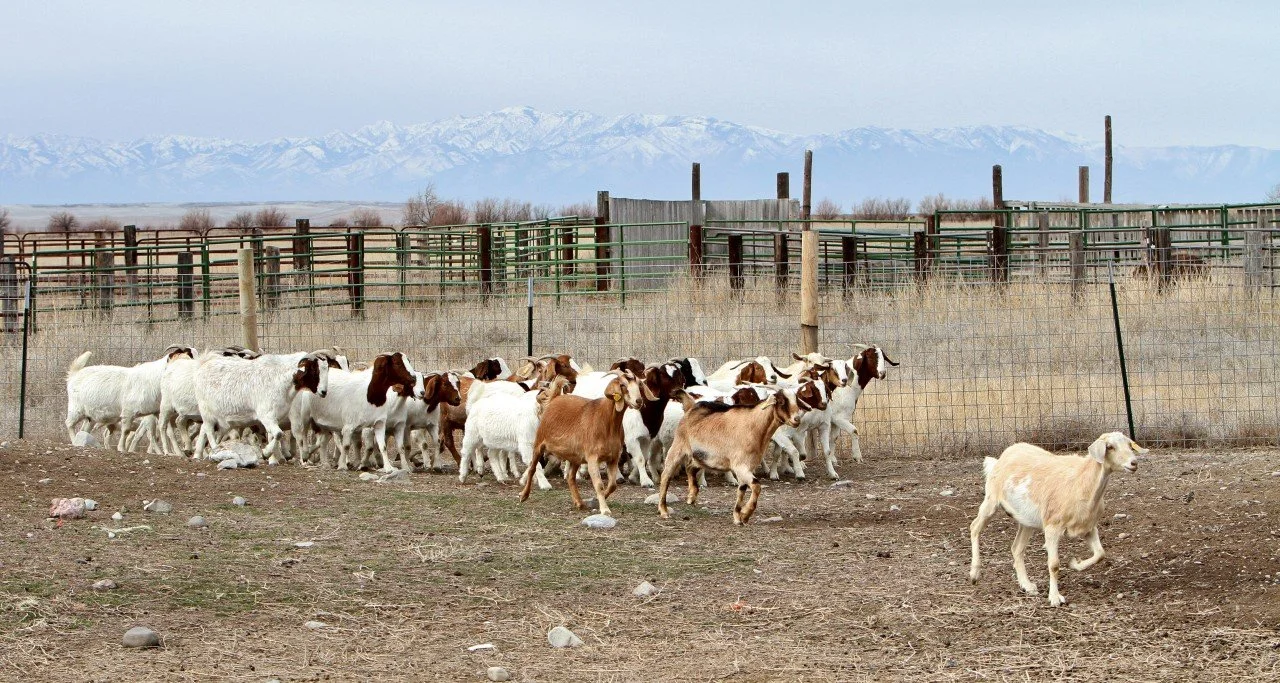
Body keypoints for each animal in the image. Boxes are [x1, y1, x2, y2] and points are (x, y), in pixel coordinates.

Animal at [518, 370, 653, 516]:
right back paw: (524, 495)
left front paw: (597, 500)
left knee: (570, 477)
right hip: (539, 443)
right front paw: (605, 509)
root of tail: (555, 398)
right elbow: (599, 484)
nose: (638, 401)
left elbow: (612, 485)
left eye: (639, 384)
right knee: (532, 468)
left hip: (575, 457)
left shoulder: (613, 458)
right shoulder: (592, 457)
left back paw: (579, 502)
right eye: (623, 385)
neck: (606, 422)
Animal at [656, 388, 805, 525]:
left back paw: (691, 497)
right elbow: (756, 486)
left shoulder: (747, 467)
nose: (797, 420)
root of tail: (691, 407)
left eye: (796, 400)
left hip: (702, 456)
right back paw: (663, 510)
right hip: (678, 447)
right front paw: (745, 515)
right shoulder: (740, 466)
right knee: (666, 476)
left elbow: (741, 490)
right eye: (781, 401)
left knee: (690, 467)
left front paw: (738, 517)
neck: (755, 427)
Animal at [968, 432, 1147, 607]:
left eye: (1130, 445)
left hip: (1027, 520)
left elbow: (1100, 553)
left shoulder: (1088, 527)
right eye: (1110, 446)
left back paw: (1027, 585)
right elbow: (1054, 565)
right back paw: (974, 573)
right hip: (991, 500)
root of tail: (1001, 457)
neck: (1082, 483)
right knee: (974, 527)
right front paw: (1055, 598)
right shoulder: (1052, 526)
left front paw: (1075, 564)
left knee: (1016, 548)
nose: (1134, 463)